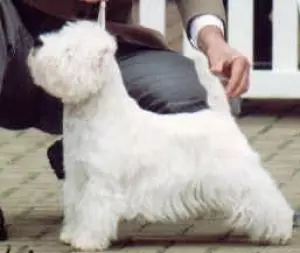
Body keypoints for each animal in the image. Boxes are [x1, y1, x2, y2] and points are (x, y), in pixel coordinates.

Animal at [27, 20, 294, 250]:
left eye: (69, 51)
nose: (37, 43)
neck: (93, 115)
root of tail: (220, 115)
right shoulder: (76, 176)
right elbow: (76, 208)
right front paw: (71, 235)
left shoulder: (101, 182)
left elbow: (94, 212)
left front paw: (86, 241)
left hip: (239, 174)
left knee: (267, 200)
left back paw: (280, 232)